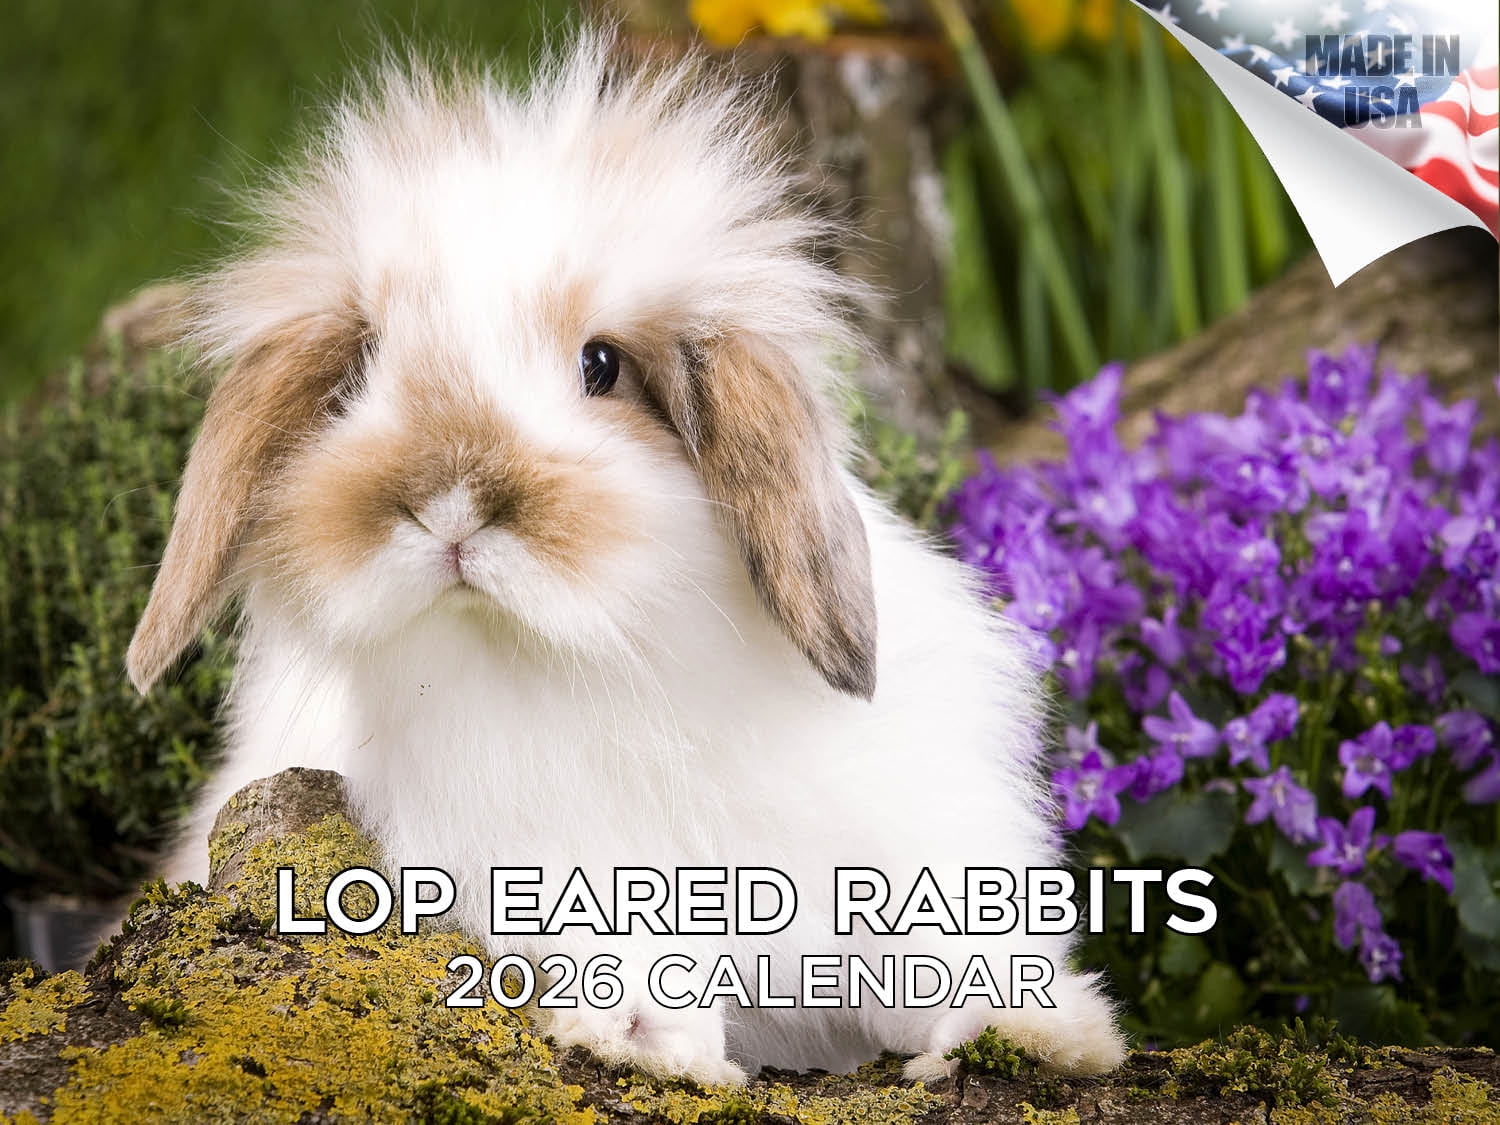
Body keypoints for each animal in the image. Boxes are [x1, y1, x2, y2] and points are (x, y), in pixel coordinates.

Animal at [127, 31, 1126, 1086]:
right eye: (360, 372)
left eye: (601, 365)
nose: (449, 501)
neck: (612, 661)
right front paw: (643, 1038)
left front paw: (1044, 1030)